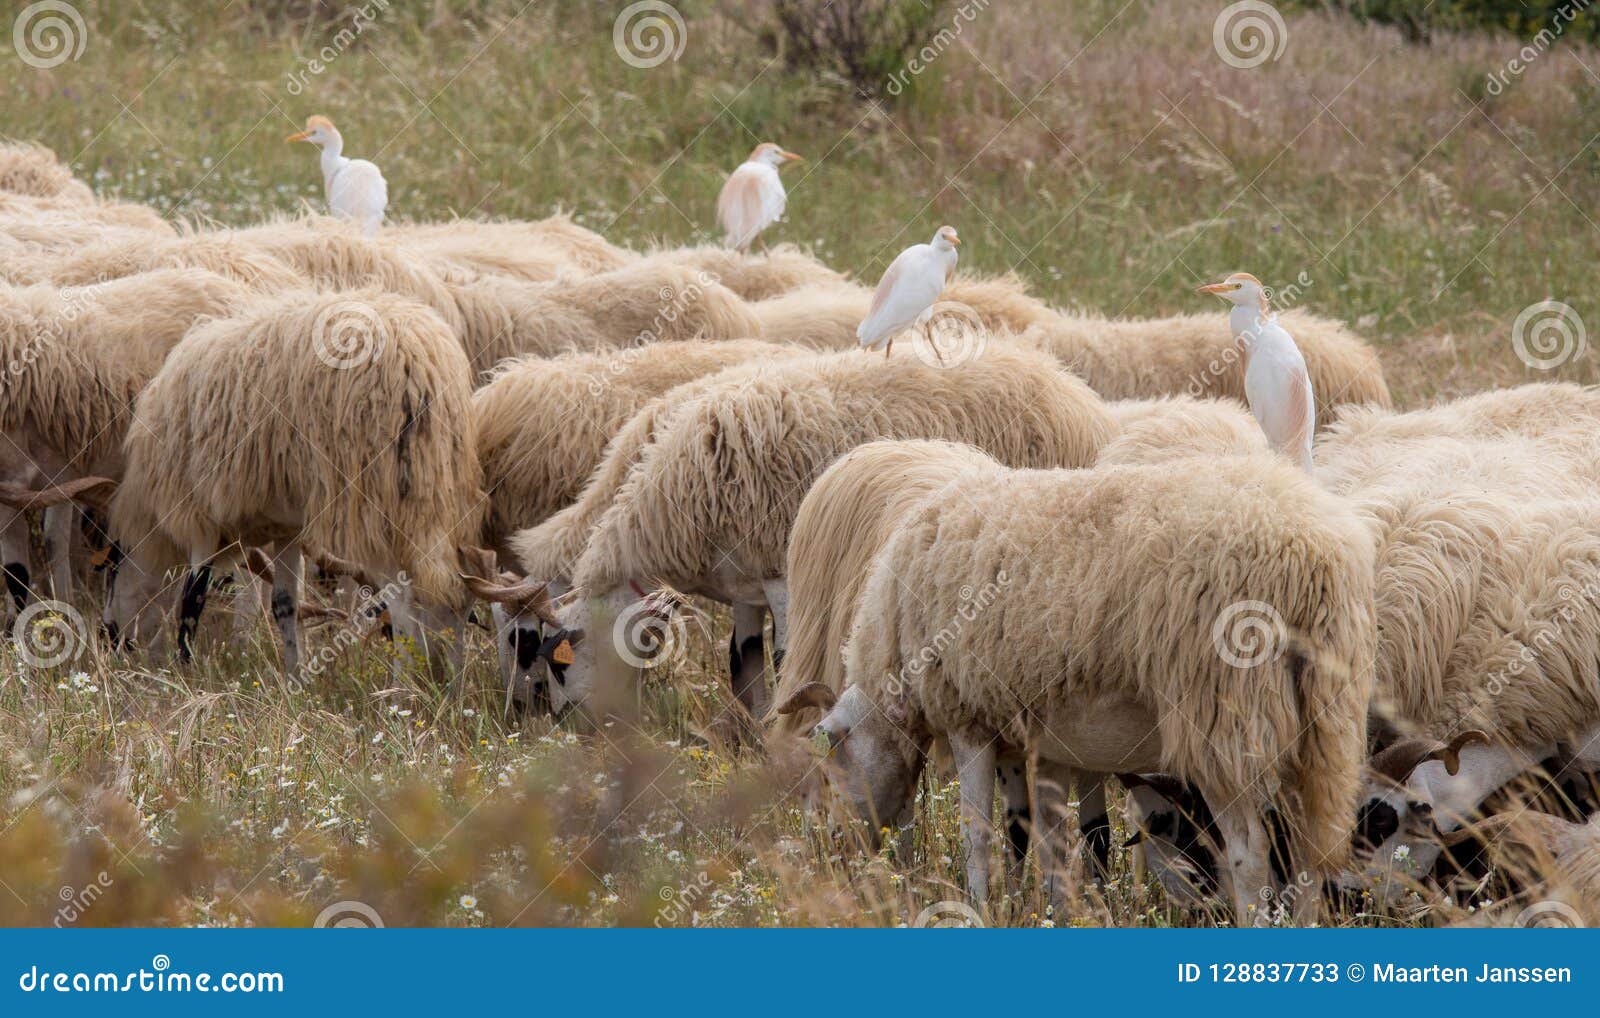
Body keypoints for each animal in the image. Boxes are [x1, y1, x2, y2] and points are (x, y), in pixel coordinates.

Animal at [103, 289, 489, 677]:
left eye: (111, 569)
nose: (110, 639)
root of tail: (415, 361)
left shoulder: (199, 516)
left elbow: (191, 601)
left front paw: (185, 670)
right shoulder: (287, 525)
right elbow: (284, 605)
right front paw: (295, 676)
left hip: (377, 501)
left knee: (404, 599)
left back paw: (404, 678)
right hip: (432, 493)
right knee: (445, 592)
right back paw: (440, 674)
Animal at [505, 344, 1116, 721]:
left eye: (557, 661)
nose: (557, 721)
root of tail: (1073, 392)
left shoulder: (781, 575)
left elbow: (781, 663)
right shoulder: (743, 584)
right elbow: (743, 666)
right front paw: (752, 734)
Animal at [780, 448, 1375, 924]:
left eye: (831, 757)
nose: (838, 856)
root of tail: (1309, 555)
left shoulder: (969, 718)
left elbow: (978, 835)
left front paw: (976, 906)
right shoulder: (1040, 738)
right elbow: (1044, 838)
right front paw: (1049, 909)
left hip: (1223, 718)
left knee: (1250, 852)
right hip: (1321, 723)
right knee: (1306, 849)